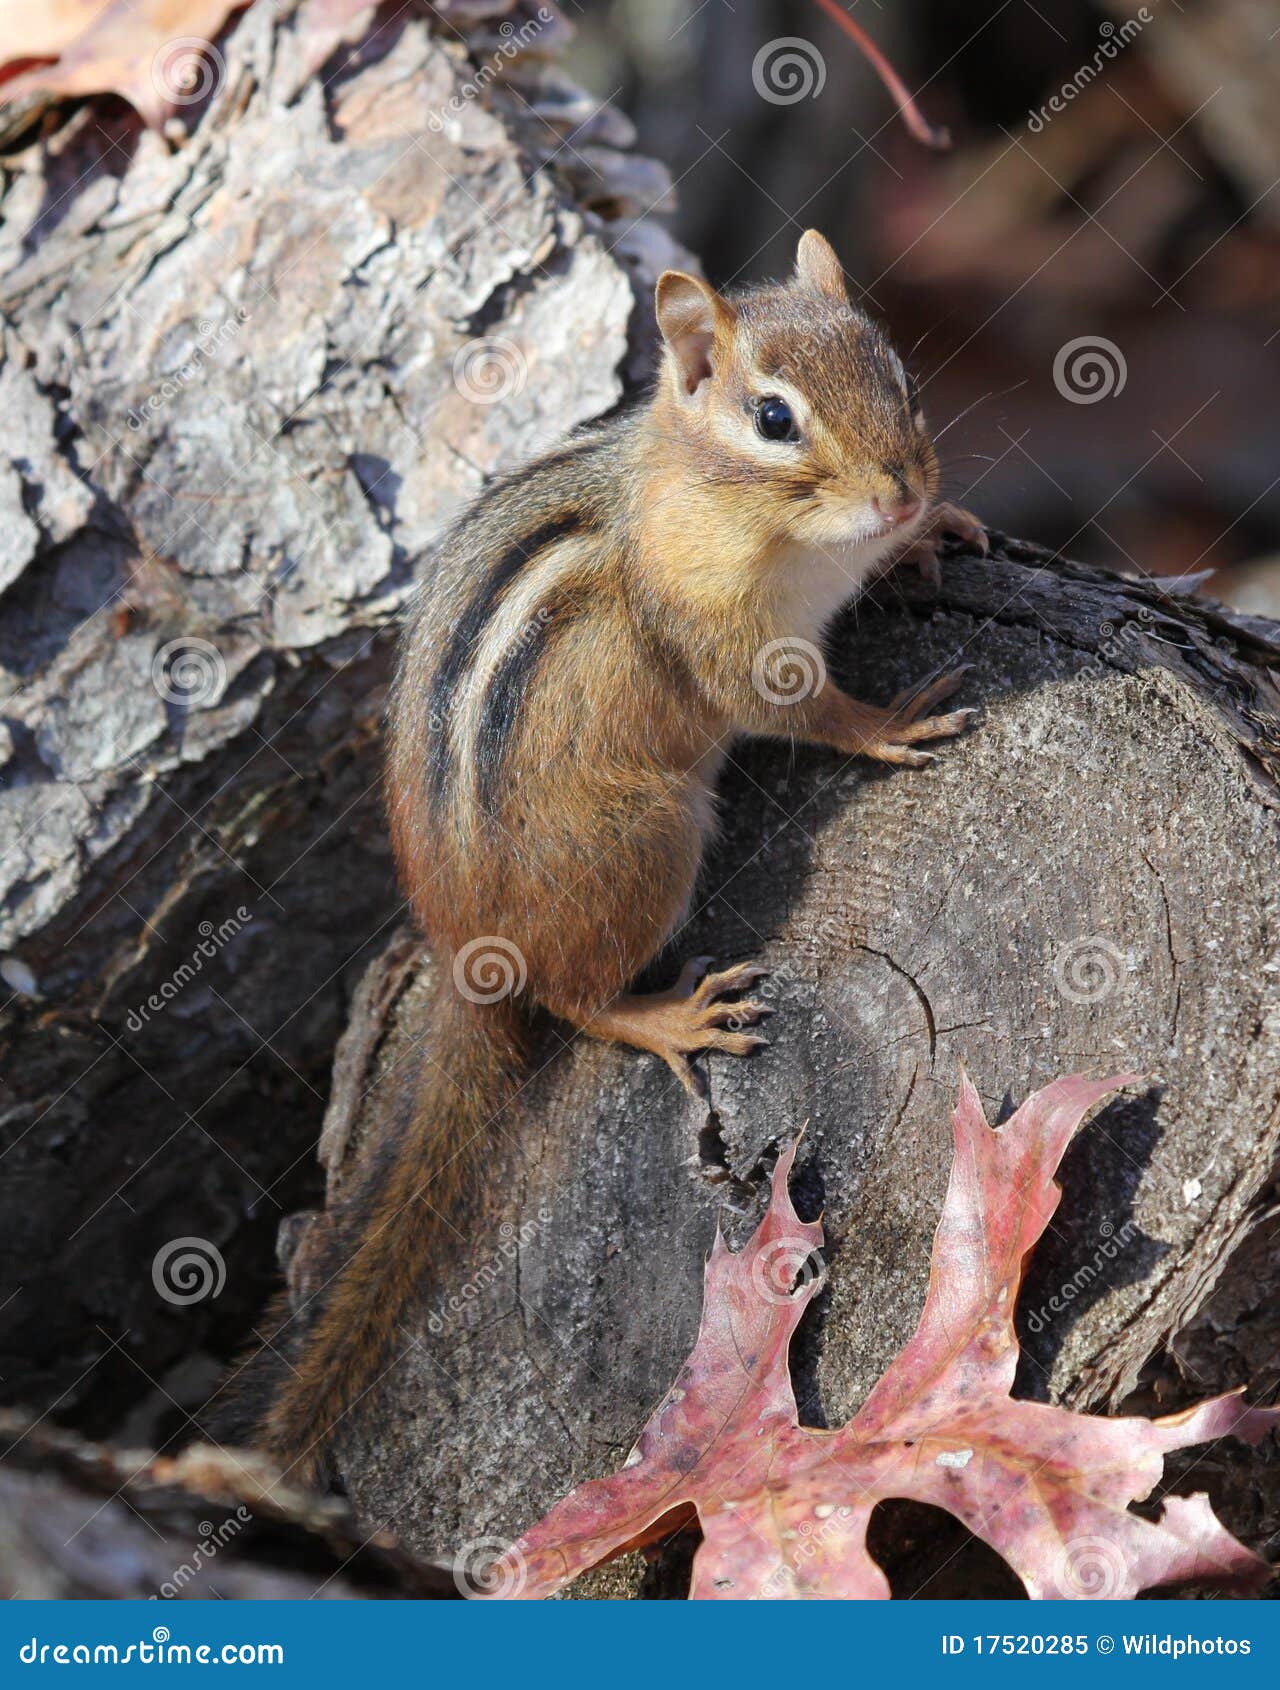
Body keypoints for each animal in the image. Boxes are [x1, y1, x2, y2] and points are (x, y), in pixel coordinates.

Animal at [255, 230, 986, 1484]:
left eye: (895, 371)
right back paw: (666, 1016)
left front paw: (935, 530)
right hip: (647, 840)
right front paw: (885, 720)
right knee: (574, 1000)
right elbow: (798, 707)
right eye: (773, 418)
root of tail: (462, 949)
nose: (902, 488)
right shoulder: (734, 644)